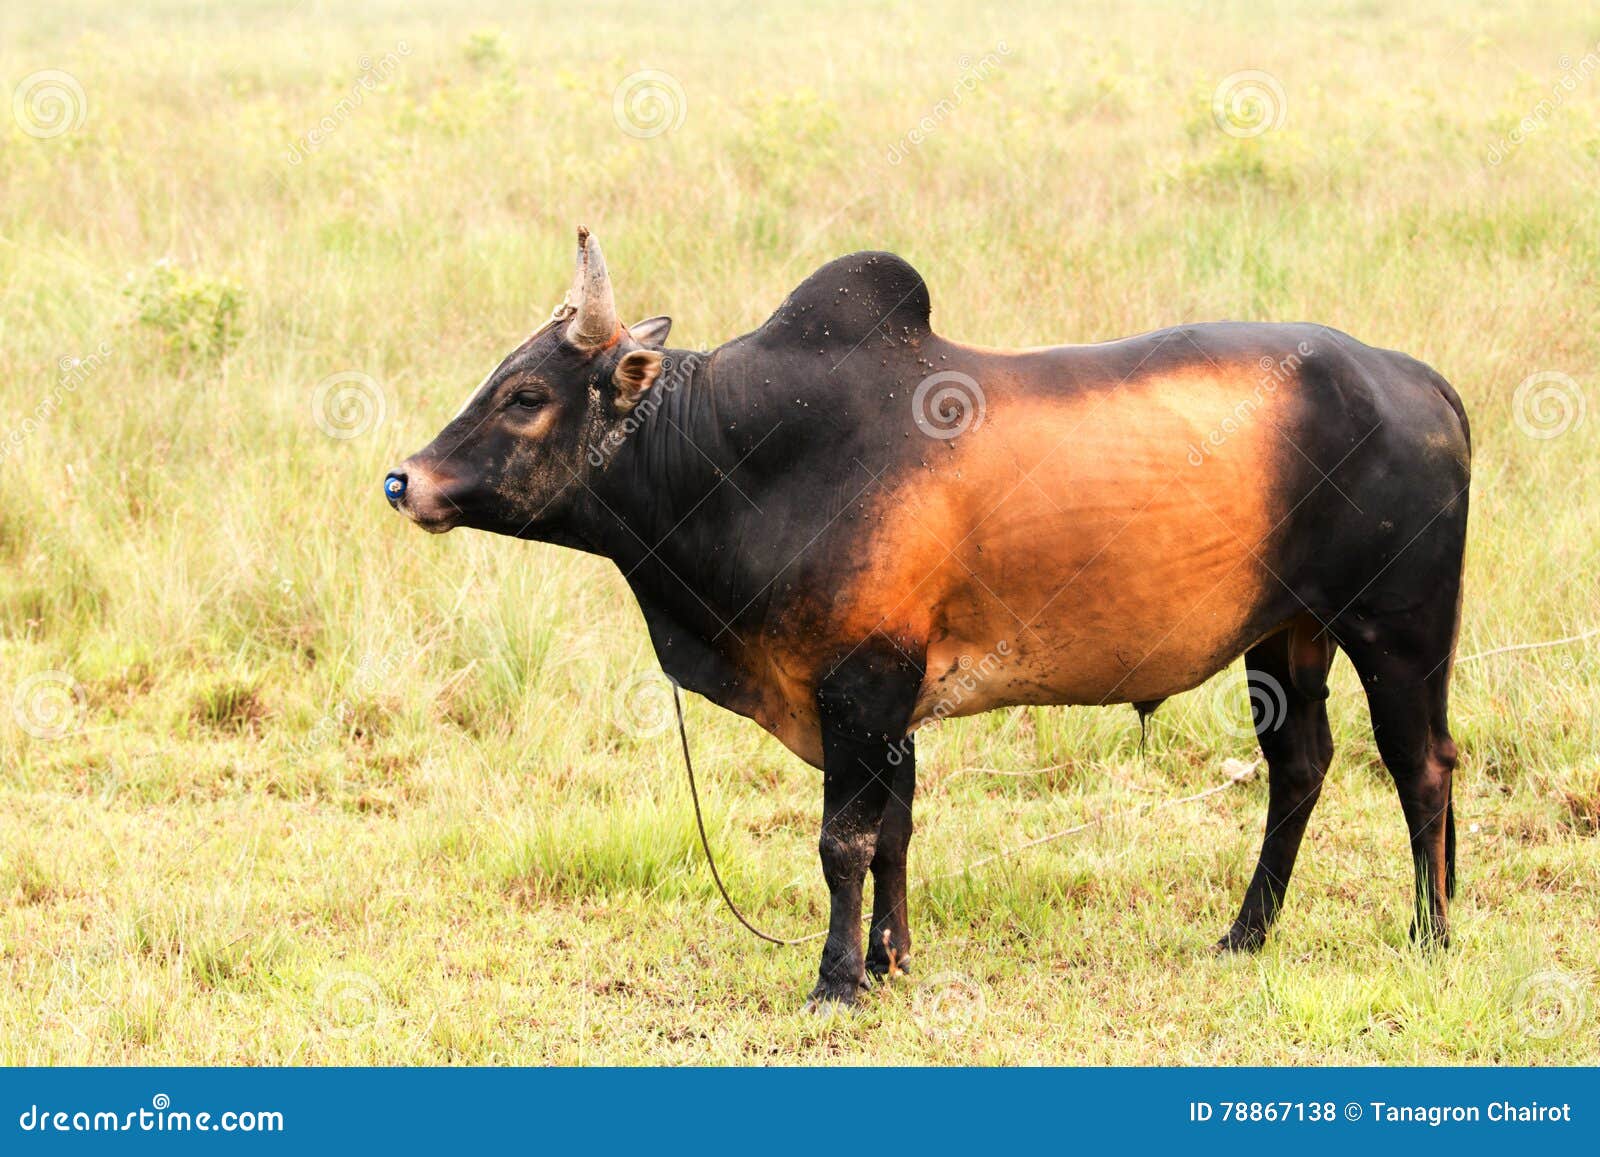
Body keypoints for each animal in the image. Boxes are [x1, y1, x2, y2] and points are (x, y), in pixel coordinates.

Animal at [385, 227, 1470, 1006]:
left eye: (527, 395)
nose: (407, 480)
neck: (735, 448)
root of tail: (1415, 377)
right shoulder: (889, 700)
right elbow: (895, 831)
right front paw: (889, 958)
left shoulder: (860, 683)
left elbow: (843, 841)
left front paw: (836, 981)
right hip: (1286, 637)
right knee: (1301, 767)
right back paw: (1246, 933)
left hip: (1397, 631)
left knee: (1421, 765)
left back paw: (1430, 933)